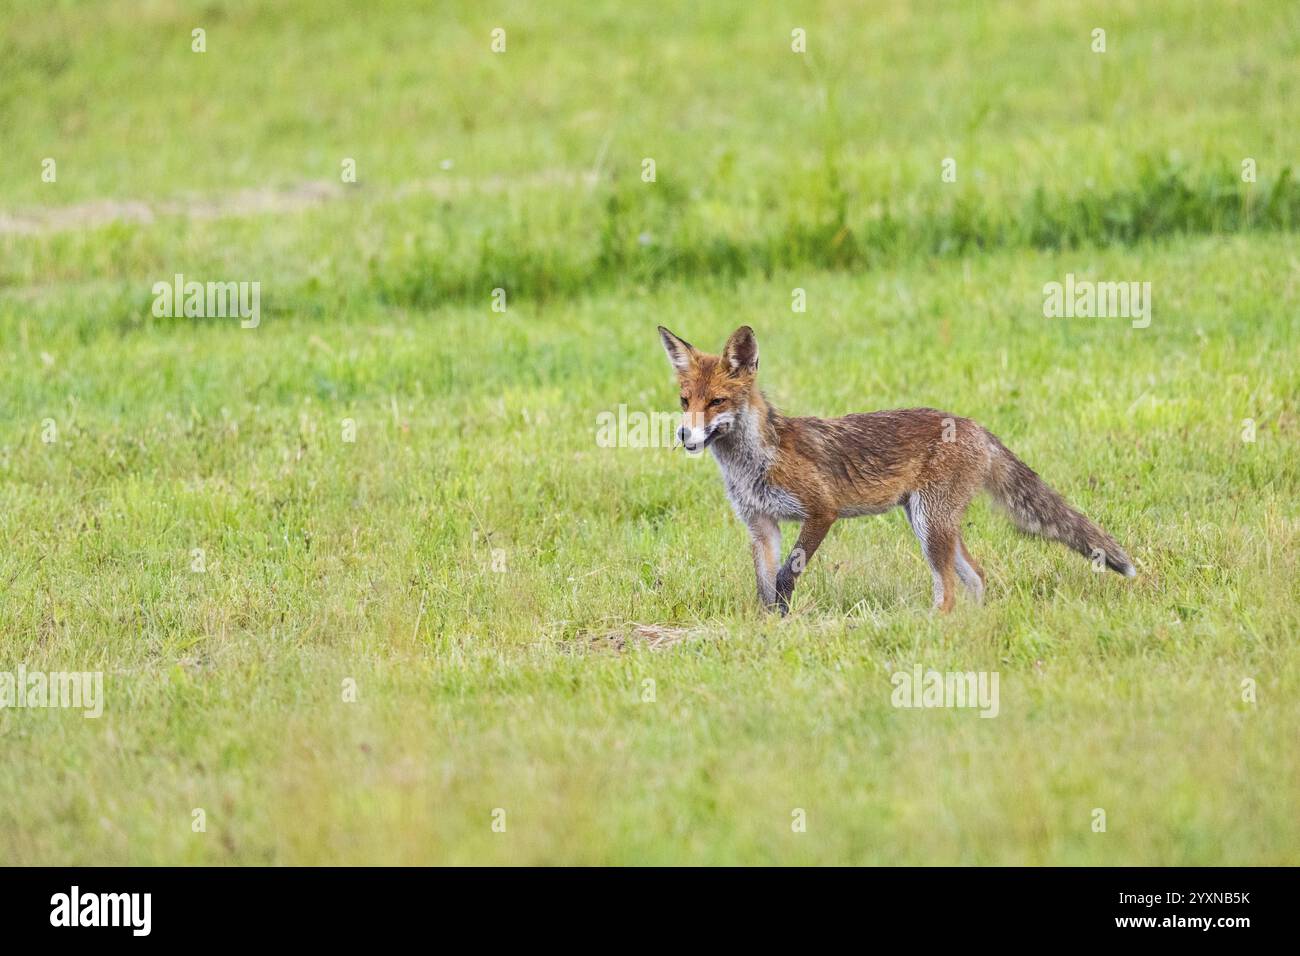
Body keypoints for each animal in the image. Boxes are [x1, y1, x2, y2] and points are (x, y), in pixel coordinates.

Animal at [658, 325, 1136, 614]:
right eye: (685, 400)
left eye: (716, 401)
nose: (683, 434)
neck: (752, 463)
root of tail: (973, 424)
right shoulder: (760, 525)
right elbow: (764, 587)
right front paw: (770, 626)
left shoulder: (821, 511)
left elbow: (786, 576)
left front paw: (785, 618)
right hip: (929, 523)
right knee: (976, 578)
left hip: (929, 524)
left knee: (948, 592)